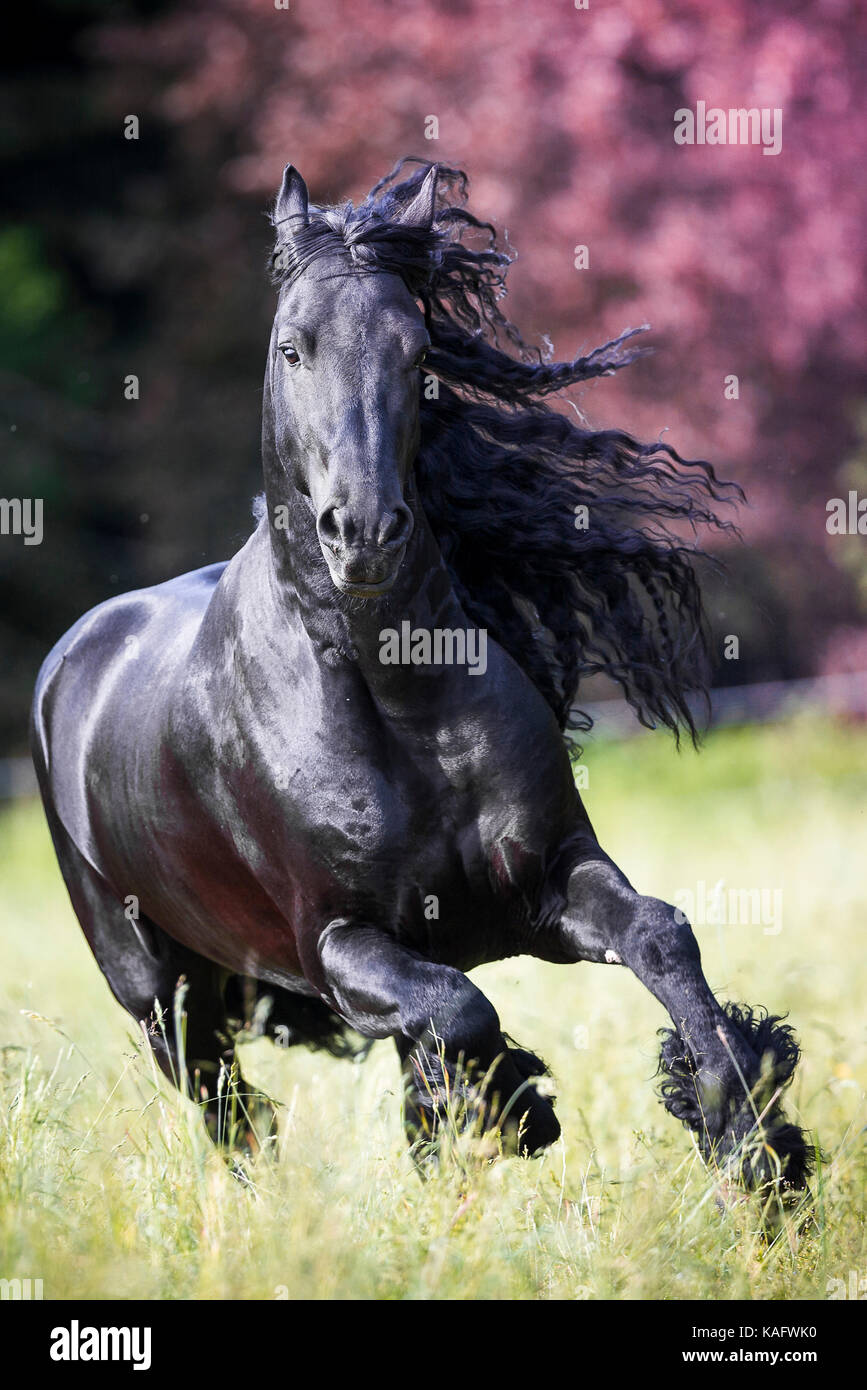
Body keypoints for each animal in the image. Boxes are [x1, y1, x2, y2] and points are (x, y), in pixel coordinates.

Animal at [31, 157, 810, 1189]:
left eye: (418, 354)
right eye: (292, 348)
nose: (364, 533)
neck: (397, 700)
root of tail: (72, 656)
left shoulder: (553, 879)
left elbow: (657, 935)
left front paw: (749, 1137)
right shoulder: (337, 941)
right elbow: (458, 1011)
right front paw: (516, 1109)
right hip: (160, 993)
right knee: (231, 1115)